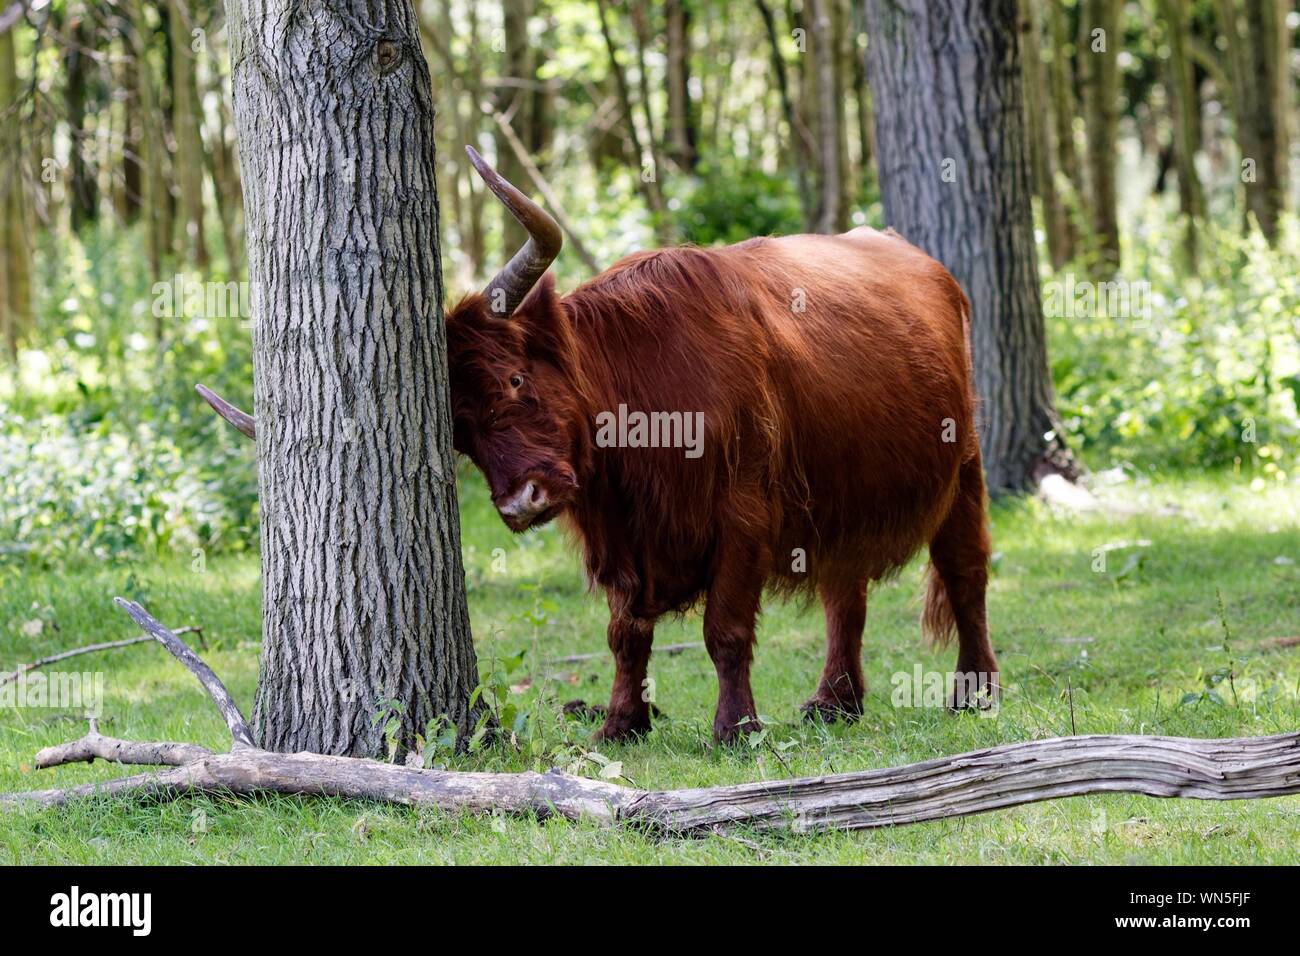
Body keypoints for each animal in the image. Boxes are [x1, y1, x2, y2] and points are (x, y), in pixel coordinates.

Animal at [445, 146, 999, 743]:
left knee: (964, 571)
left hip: (963, 465)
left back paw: (974, 691)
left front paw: (735, 727)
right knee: (844, 592)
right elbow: (625, 633)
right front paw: (621, 723)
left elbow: (724, 629)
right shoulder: (618, 535)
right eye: (460, 432)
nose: (519, 503)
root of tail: (927, 264)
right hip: (841, 493)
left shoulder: (743, 512)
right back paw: (835, 700)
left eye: (515, 379)